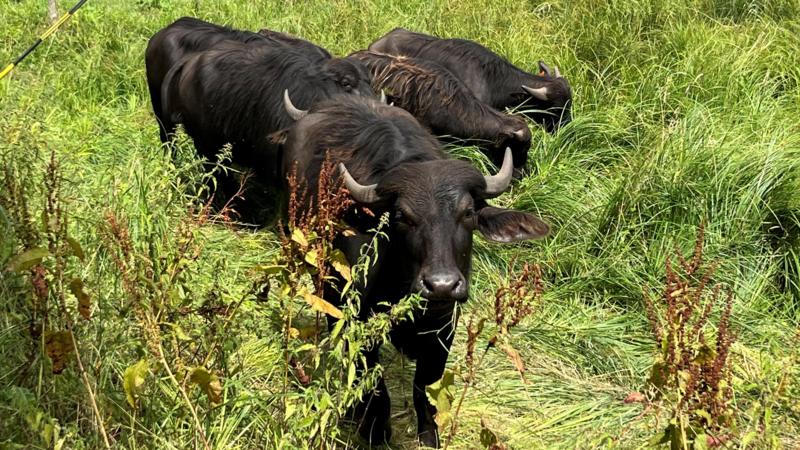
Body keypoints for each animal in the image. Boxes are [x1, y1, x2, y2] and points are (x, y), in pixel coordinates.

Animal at [278, 93, 549, 447]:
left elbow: (426, 391)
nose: (441, 285)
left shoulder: (443, 329)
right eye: (402, 216)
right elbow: (375, 390)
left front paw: (429, 436)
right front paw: (374, 432)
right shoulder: (362, 323)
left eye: (468, 213)